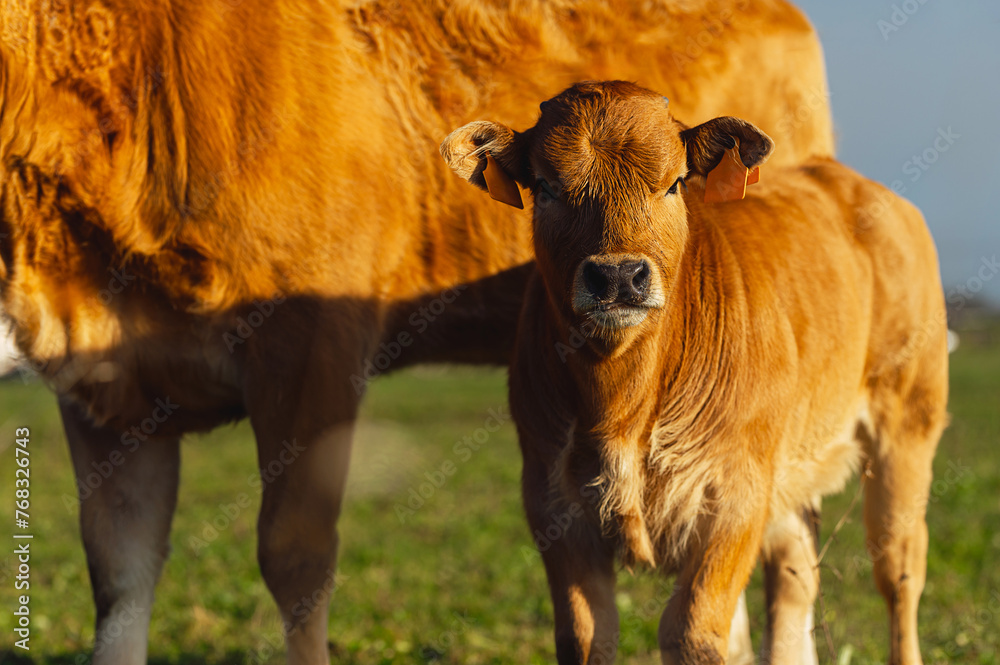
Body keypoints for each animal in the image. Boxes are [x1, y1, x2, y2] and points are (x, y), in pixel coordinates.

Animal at [0, 1, 834, 663]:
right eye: (546, 188)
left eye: (672, 184)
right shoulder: (109, 383)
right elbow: (121, 567)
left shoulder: (311, 349)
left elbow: (295, 554)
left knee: (787, 552)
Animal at [440, 80, 948, 665]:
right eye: (545, 188)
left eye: (675, 183)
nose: (619, 276)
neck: (622, 403)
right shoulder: (553, 503)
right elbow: (588, 636)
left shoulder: (735, 496)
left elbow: (692, 632)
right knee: (794, 579)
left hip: (906, 431)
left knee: (900, 573)